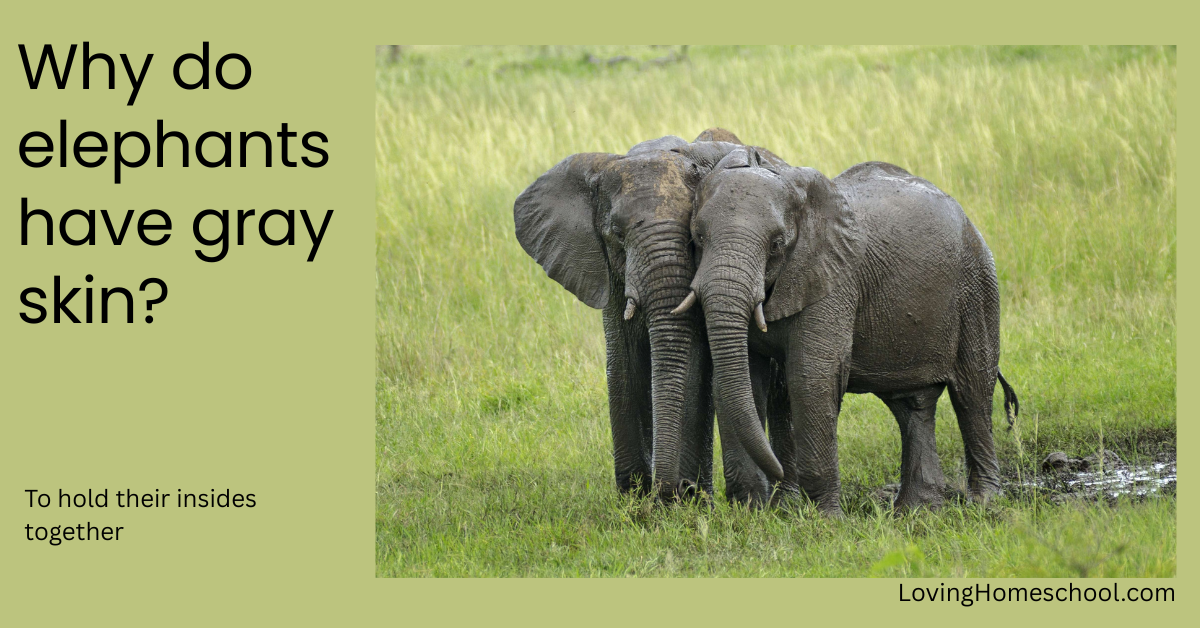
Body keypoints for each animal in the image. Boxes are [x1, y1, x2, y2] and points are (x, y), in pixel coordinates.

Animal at [513, 129, 748, 500]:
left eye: (694, 234)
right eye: (617, 235)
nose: (674, 490)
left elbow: (693, 366)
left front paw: (686, 499)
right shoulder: (608, 274)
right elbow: (623, 365)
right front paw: (633, 494)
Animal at [672, 146, 1018, 514]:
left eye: (777, 244)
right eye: (697, 236)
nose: (777, 472)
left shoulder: (833, 280)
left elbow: (811, 377)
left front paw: (824, 518)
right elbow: (745, 380)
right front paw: (751, 513)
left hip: (977, 286)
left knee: (972, 391)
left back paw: (983, 503)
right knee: (912, 404)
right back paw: (918, 511)